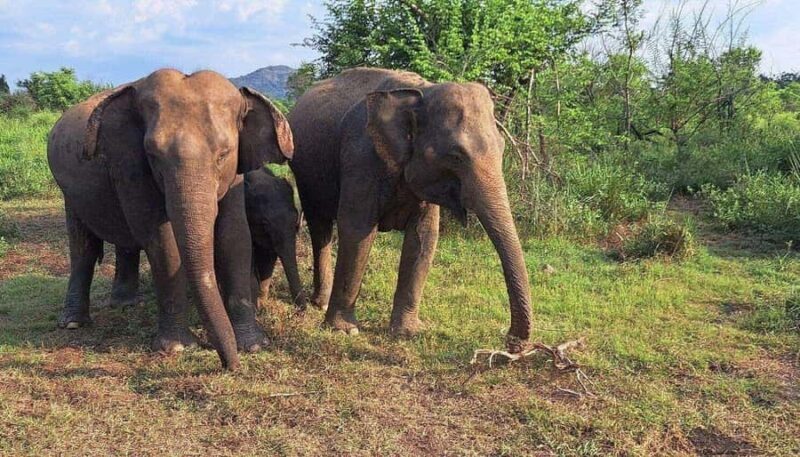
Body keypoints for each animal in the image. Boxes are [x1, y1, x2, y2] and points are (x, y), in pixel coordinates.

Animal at [47, 68, 294, 370]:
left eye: (224, 154)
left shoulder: (236, 176)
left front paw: (254, 345)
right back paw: (73, 323)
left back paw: (126, 304)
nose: (230, 365)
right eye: (154, 155)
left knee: (125, 243)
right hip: (69, 191)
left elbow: (234, 235)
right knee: (83, 247)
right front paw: (177, 348)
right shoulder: (131, 162)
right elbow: (161, 239)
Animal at [288, 67, 533, 352]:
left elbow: (424, 237)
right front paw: (344, 331)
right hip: (305, 173)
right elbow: (358, 231)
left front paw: (408, 332)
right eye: (456, 156)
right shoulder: (360, 156)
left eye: (502, 148)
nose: (511, 341)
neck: (422, 91)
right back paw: (319, 303)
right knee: (320, 227)